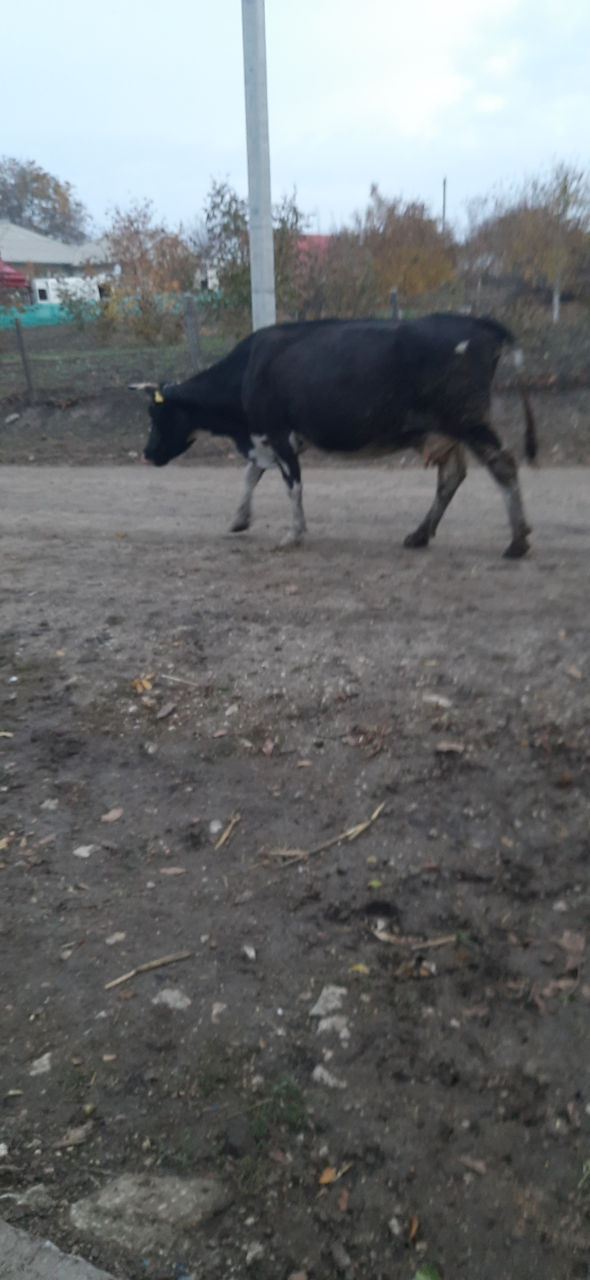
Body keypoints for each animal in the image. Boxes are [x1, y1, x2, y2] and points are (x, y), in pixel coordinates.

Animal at [132, 313, 537, 558]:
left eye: (157, 413)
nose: (147, 453)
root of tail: (476, 322)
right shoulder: (263, 438)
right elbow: (250, 475)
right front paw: (240, 519)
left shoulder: (278, 434)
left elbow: (292, 485)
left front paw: (294, 533)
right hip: (446, 430)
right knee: (452, 477)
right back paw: (420, 535)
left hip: (469, 421)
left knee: (503, 465)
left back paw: (517, 540)